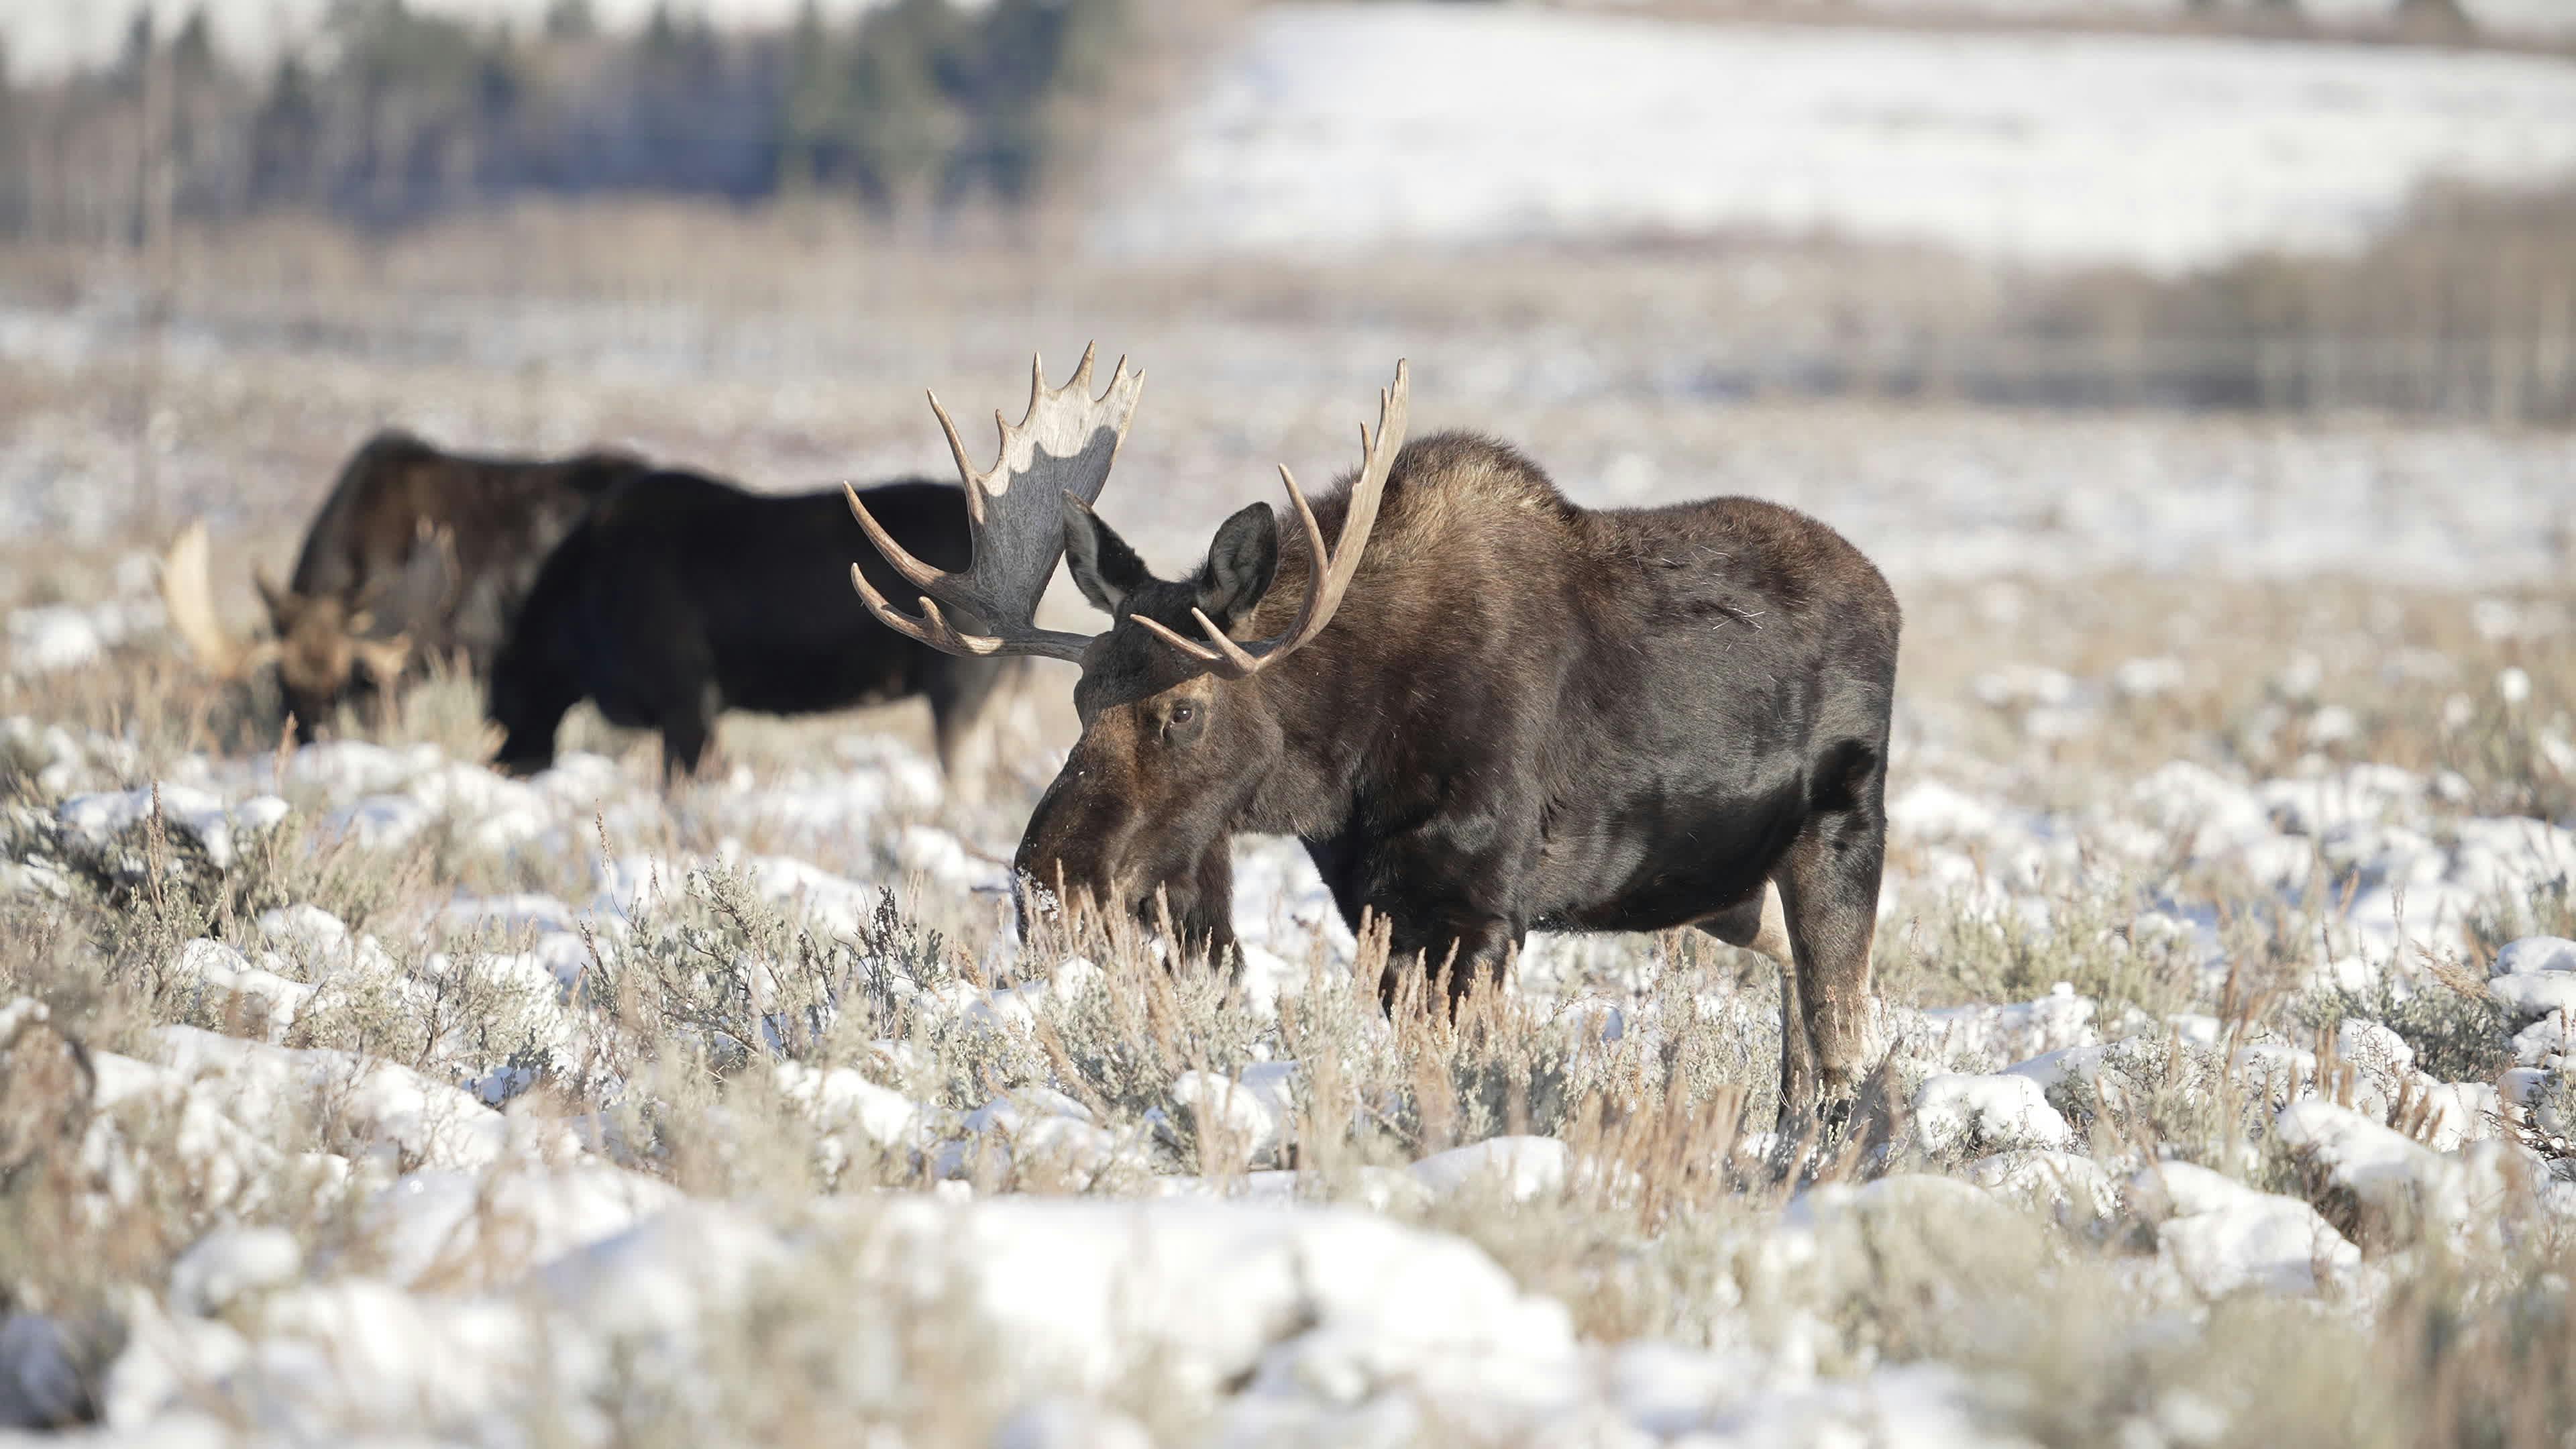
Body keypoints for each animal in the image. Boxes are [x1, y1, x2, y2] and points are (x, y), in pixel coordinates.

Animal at [846, 347, 1901, 1134]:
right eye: (1075, 700)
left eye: (1181, 709)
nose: (1046, 884)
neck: (1344, 764)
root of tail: (1887, 594)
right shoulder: (1378, 903)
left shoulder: (1477, 907)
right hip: (1726, 886)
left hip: (1843, 830)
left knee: (1841, 1022)